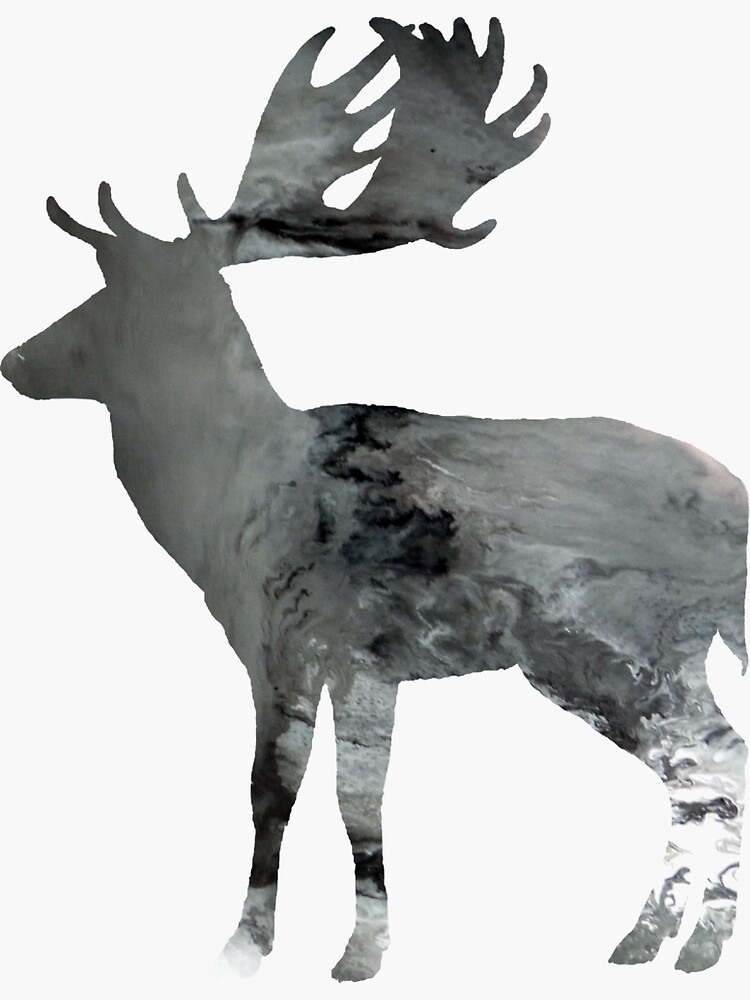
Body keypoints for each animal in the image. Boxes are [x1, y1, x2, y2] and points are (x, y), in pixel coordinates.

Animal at [1, 17, 747, 982]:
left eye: (103, 296)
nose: (15, 359)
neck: (236, 500)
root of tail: (738, 502)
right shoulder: (327, 662)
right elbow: (315, 797)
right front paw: (301, 948)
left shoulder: (331, 645)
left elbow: (319, 800)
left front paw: (308, 954)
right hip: (630, 664)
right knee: (701, 778)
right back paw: (654, 943)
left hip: (624, 648)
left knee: (712, 771)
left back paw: (677, 945)